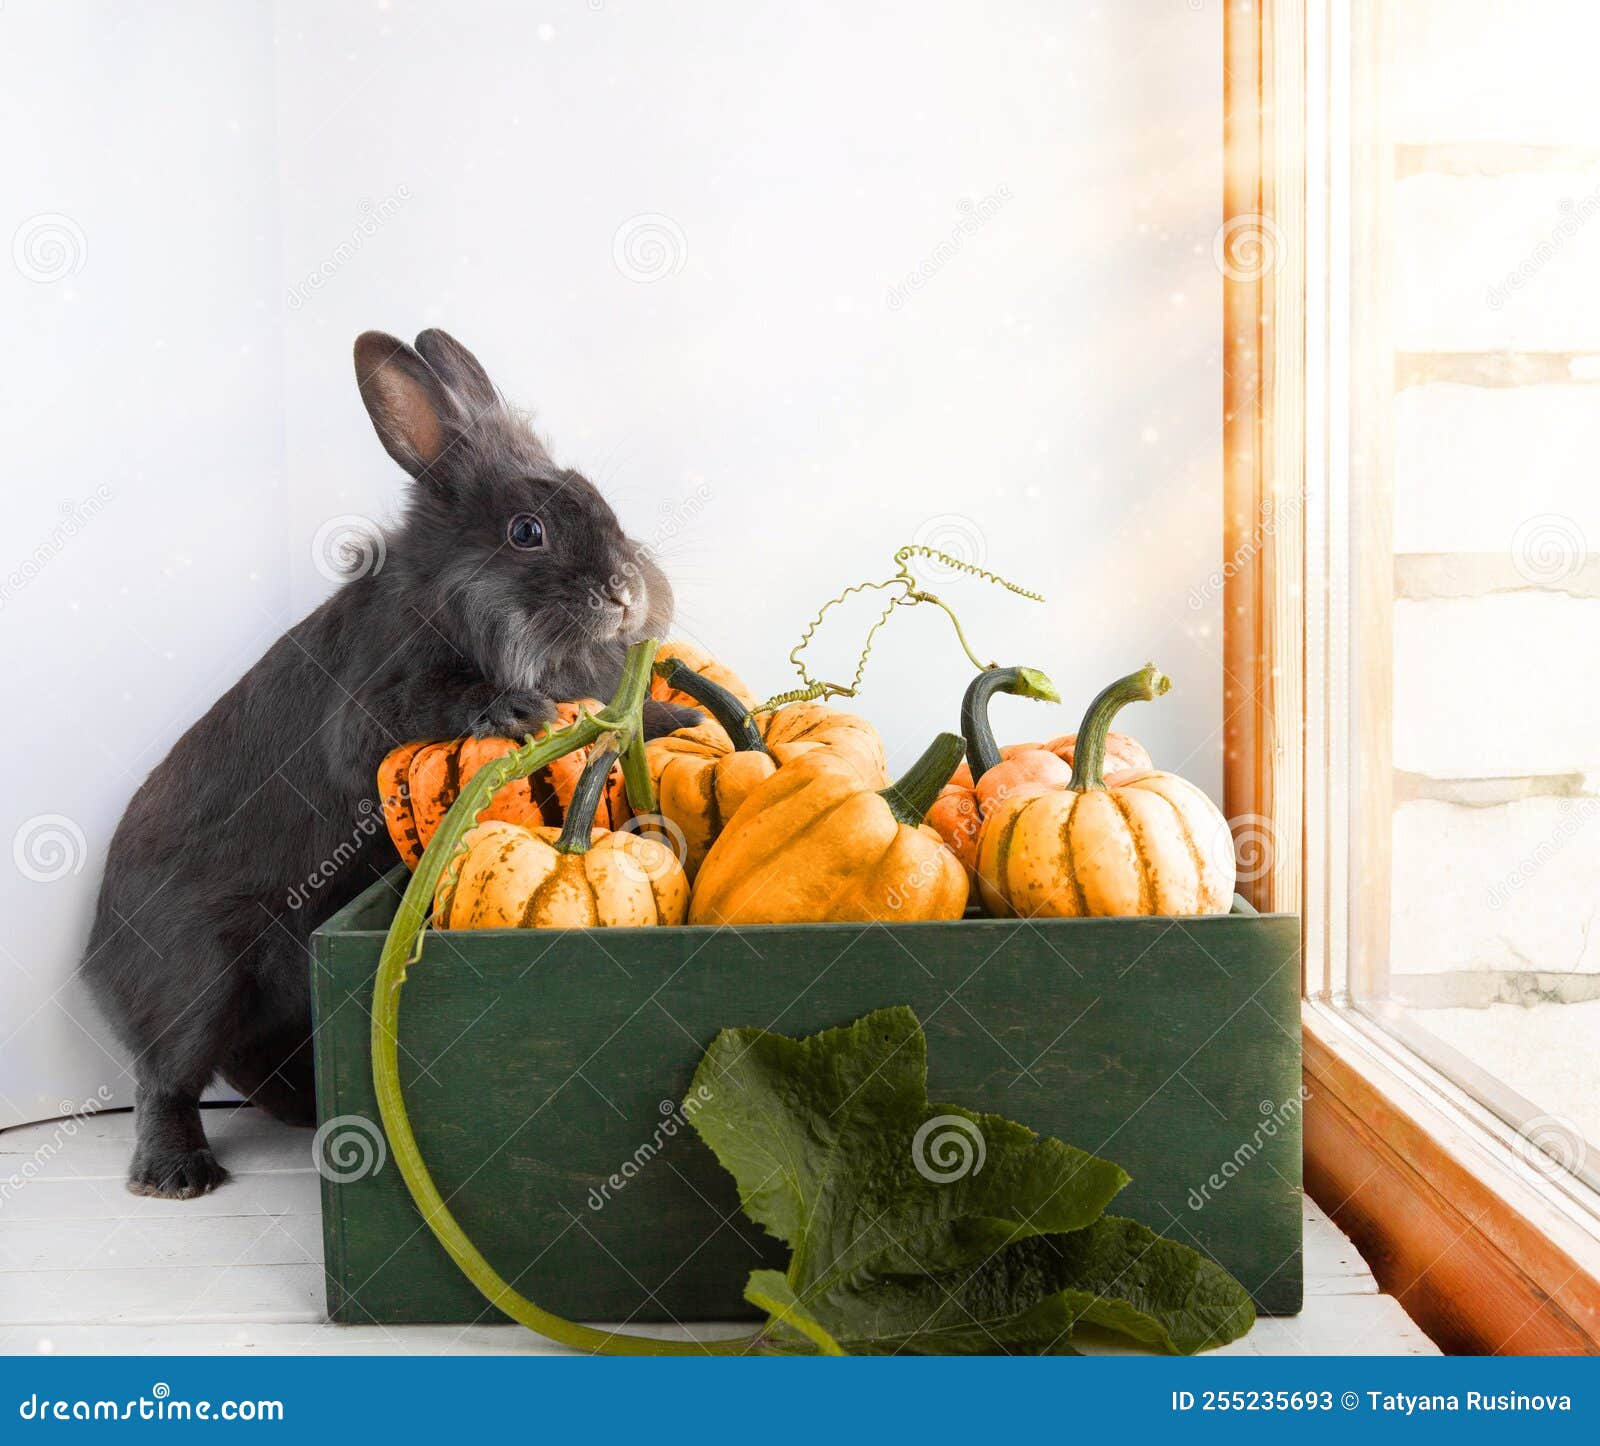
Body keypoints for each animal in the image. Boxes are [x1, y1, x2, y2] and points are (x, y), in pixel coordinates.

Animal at [81, 328, 700, 1199]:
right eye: (526, 532)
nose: (623, 593)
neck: (447, 603)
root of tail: (94, 953)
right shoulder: (372, 712)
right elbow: (432, 711)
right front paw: (517, 712)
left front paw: (679, 716)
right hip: (198, 976)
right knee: (167, 1076)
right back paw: (176, 1173)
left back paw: (306, 1110)